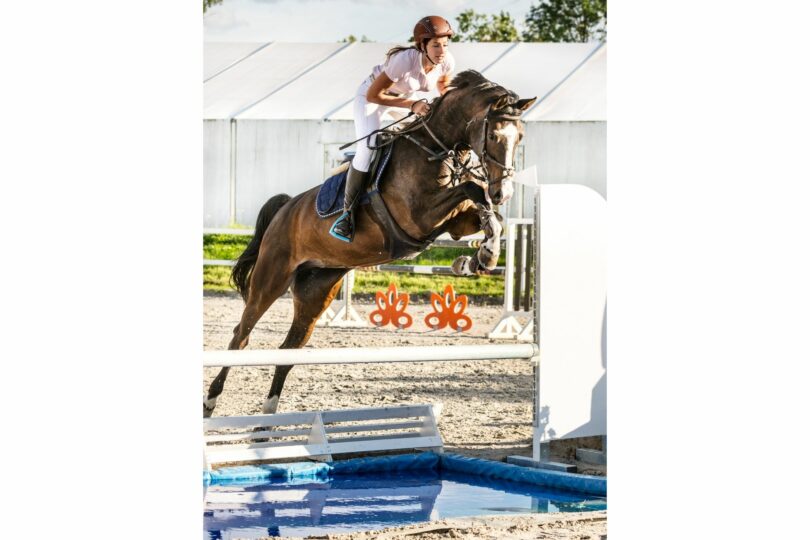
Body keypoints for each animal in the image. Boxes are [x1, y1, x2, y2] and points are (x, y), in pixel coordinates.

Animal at [204, 70, 536, 417]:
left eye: (520, 137)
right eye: (494, 136)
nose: (504, 193)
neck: (434, 148)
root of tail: (285, 208)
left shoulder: (453, 222)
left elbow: (488, 211)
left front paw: (480, 257)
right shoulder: (418, 215)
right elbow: (473, 188)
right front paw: (482, 253)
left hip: (316, 291)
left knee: (287, 350)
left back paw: (267, 419)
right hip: (271, 279)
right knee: (240, 338)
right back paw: (211, 402)